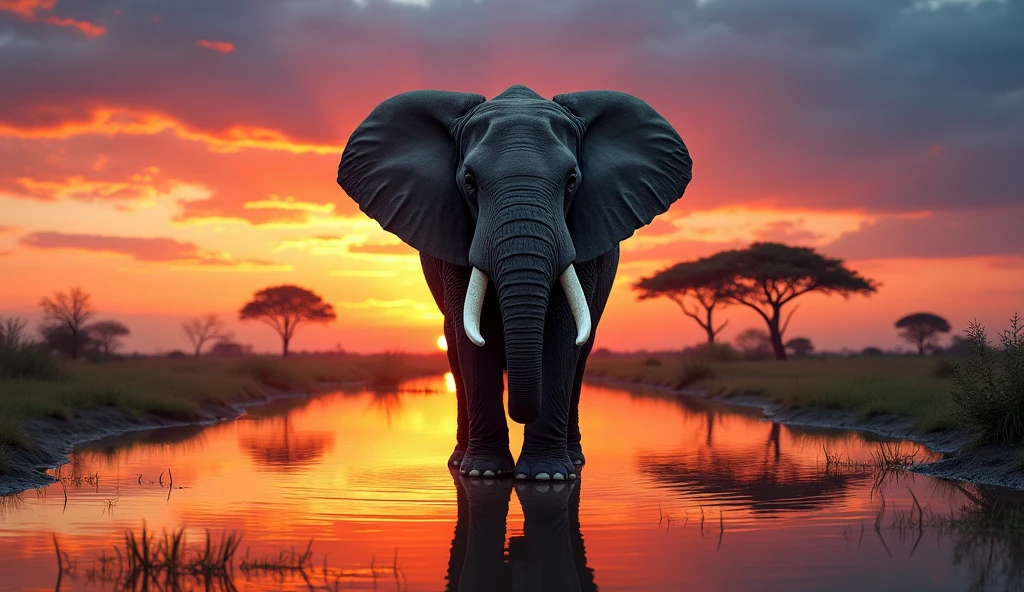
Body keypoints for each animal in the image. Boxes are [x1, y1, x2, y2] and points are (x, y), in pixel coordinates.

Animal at [337, 85, 691, 481]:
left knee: (582, 354)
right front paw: (484, 474)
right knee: (453, 347)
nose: (521, 413)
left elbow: (562, 333)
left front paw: (548, 476)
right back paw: (459, 461)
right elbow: (475, 338)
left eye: (572, 182)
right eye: (469, 183)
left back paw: (575, 460)